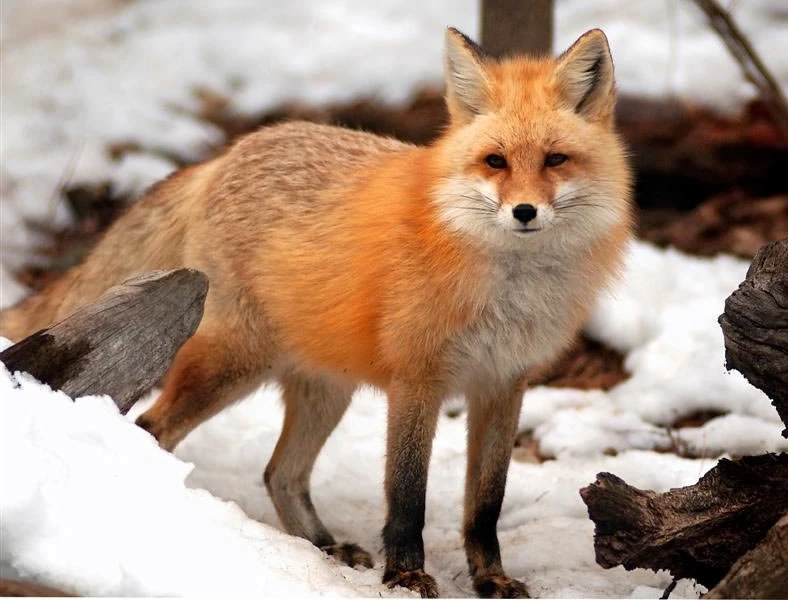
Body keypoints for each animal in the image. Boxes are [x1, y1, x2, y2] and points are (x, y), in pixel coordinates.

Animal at [1, 28, 632, 598]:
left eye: (555, 160)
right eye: (495, 162)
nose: (524, 212)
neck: (507, 290)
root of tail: (229, 154)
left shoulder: (503, 384)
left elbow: (485, 503)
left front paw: (490, 579)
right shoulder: (417, 381)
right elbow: (407, 496)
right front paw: (405, 577)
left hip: (327, 388)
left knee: (280, 473)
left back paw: (322, 546)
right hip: (232, 364)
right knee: (152, 430)